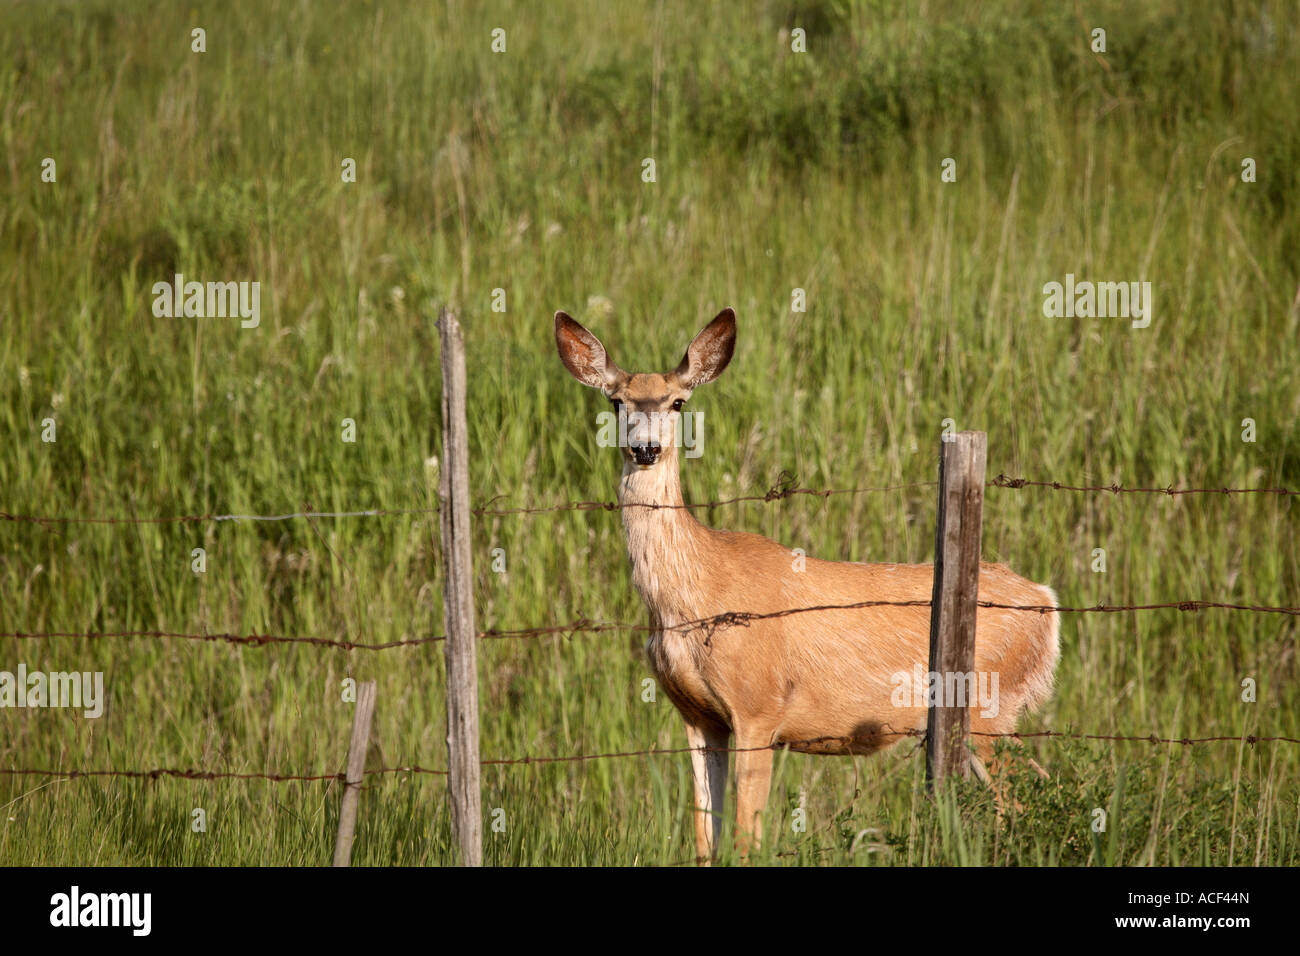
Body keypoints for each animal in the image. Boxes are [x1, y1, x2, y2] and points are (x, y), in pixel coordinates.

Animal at [554, 307, 1060, 863]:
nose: (645, 448)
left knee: (1030, 798)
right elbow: (705, 838)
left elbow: (745, 840)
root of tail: (1047, 602)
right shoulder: (698, 716)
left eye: (677, 401)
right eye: (617, 400)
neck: (692, 596)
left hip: (990, 703)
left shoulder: (758, 705)